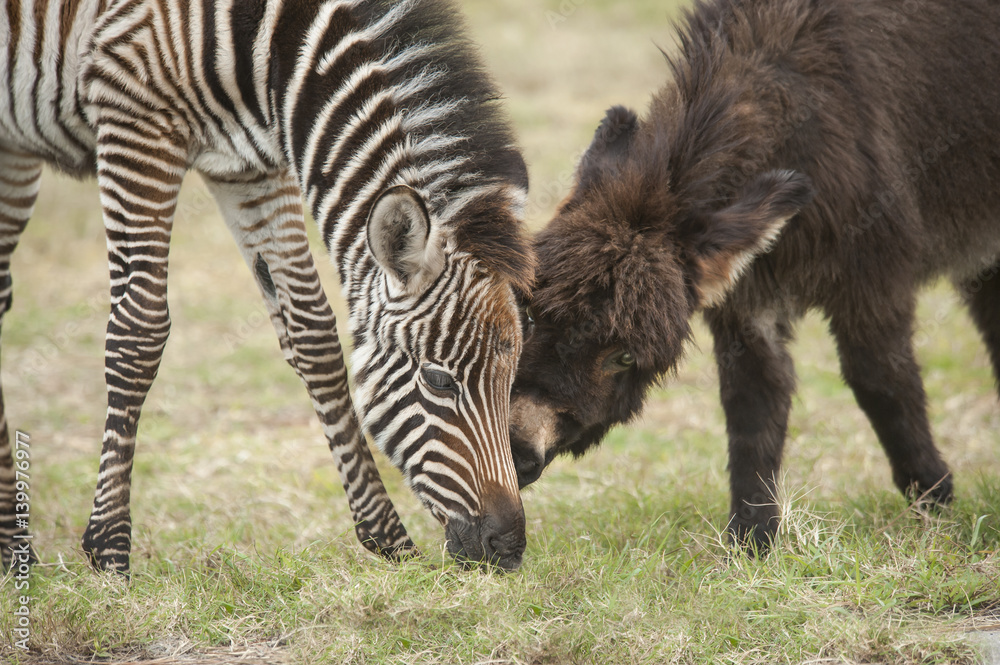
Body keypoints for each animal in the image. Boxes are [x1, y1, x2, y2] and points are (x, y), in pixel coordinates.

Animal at [0, 0, 534, 573]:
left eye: (510, 377)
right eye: (438, 381)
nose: (508, 548)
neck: (267, 43)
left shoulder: (247, 168)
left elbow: (313, 335)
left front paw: (387, 537)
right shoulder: (133, 114)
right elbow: (139, 330)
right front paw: (108, 546)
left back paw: (11, 544)